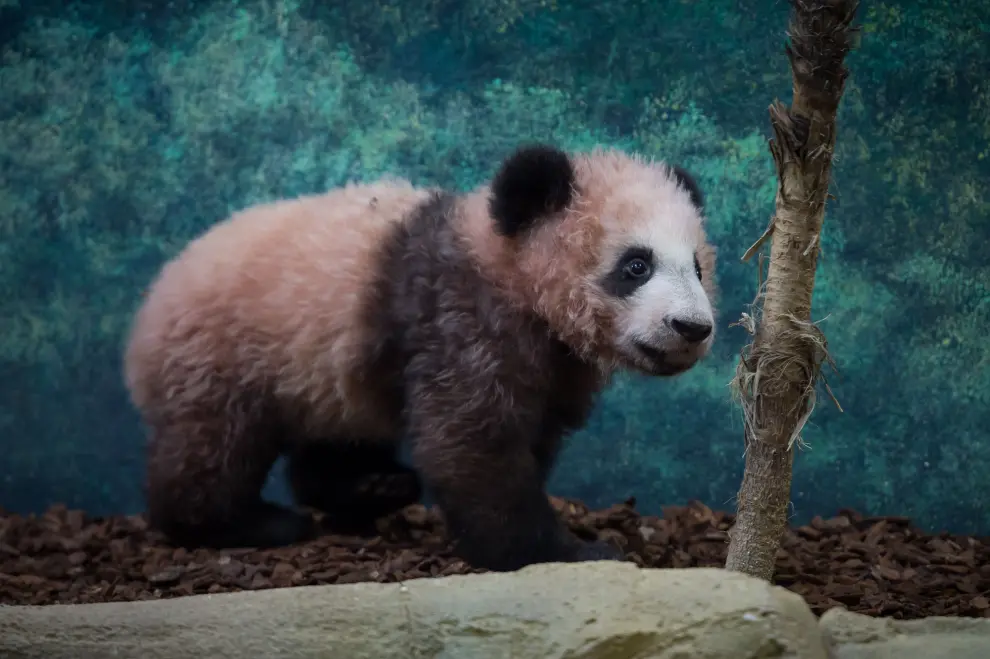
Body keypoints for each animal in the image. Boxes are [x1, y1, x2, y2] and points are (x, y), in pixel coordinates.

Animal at [123, 143, 718, 572]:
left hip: (326, 368)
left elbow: (529, 436)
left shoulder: (550, 366)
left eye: (697, 266)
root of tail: (146, 313)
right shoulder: (455, 317)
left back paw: (373, 487)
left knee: (336, 429)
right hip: (221, 352)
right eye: (636, 265)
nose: (692, 327)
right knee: (215, 445)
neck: (505, 264)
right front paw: (567, 552)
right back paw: (248, 524)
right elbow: (471, 443)